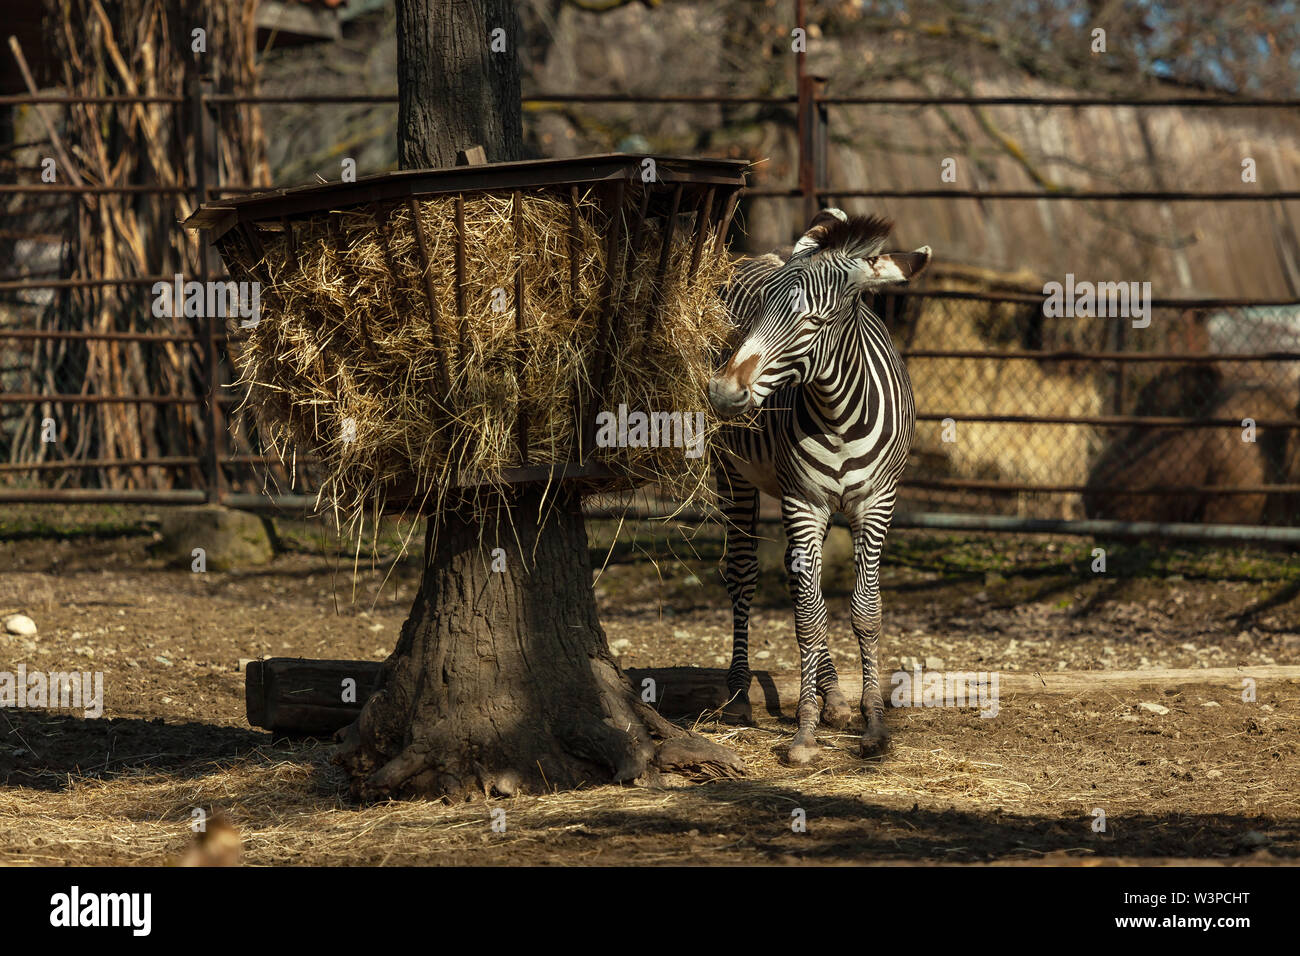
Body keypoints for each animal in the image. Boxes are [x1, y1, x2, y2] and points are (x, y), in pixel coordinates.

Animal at [708, 209, 931, 765]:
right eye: (759, 311)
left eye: (814, 321)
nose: (723, 391)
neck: (837, 412)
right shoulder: (802, 499)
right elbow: (810, 615)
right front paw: (804, 732)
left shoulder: (876, 501)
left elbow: (863, 611)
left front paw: (873, 724)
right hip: (733, 472)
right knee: (743, 573)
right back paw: (740, 696)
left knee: (795, 581)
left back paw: (833, 696)